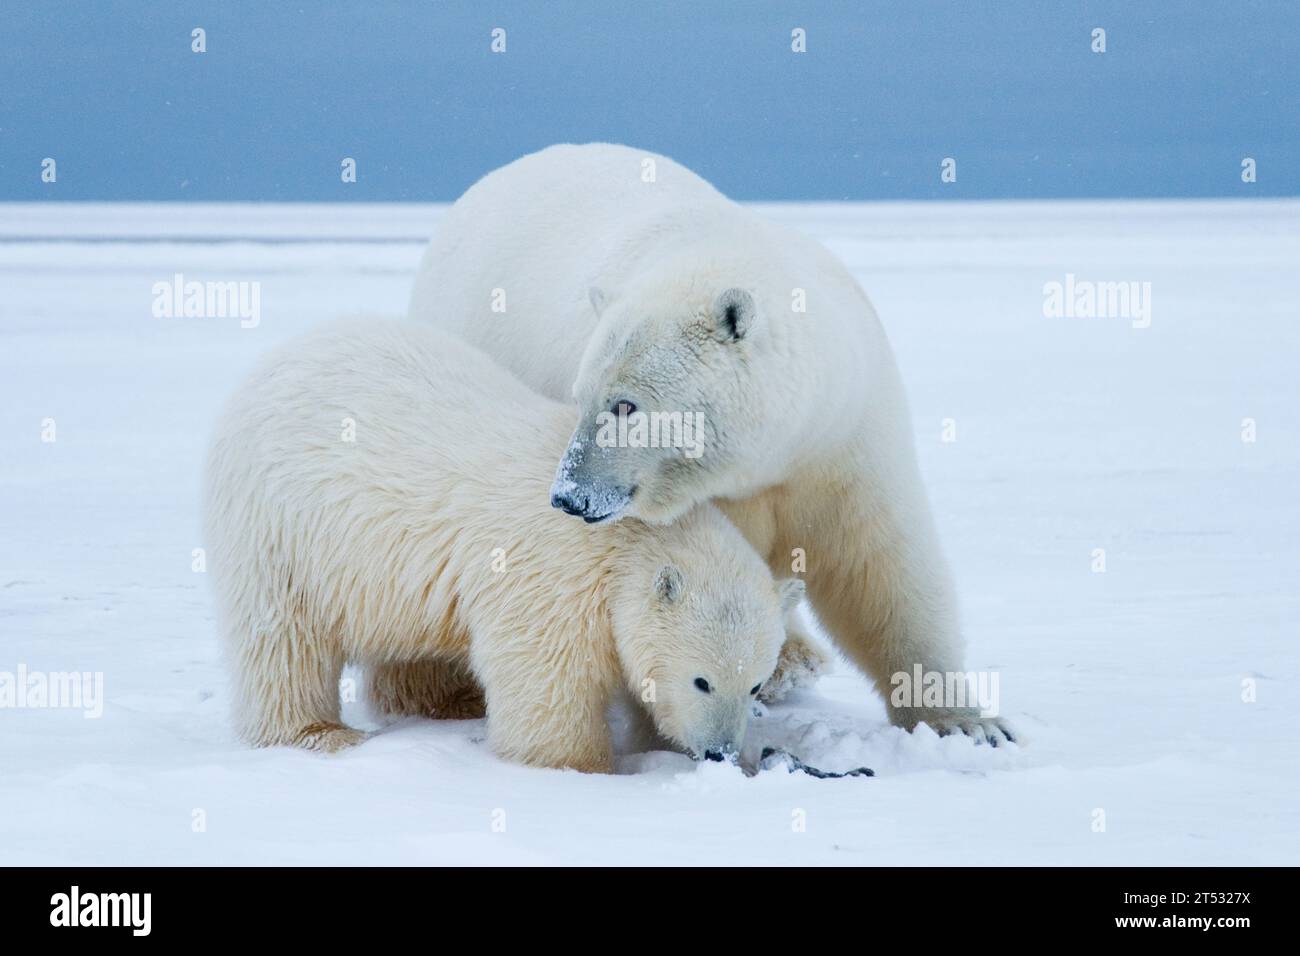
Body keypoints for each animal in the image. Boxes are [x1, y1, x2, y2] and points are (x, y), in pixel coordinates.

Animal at [203, 318, 802, 772]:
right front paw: (582, 767)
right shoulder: (551, 576)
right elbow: (547, 681)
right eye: (703, 680)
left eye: (754, 685)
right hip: (280, 529)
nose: (721, 753)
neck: (626, 535)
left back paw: (449, 700)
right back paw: (320, 732)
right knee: (283, 639)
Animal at [407, 143, 1015, 743]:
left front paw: (971, 724)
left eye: (624, 405)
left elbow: (879, 562)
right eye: (581, 398)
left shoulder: (842, 434)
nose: (568, 496)